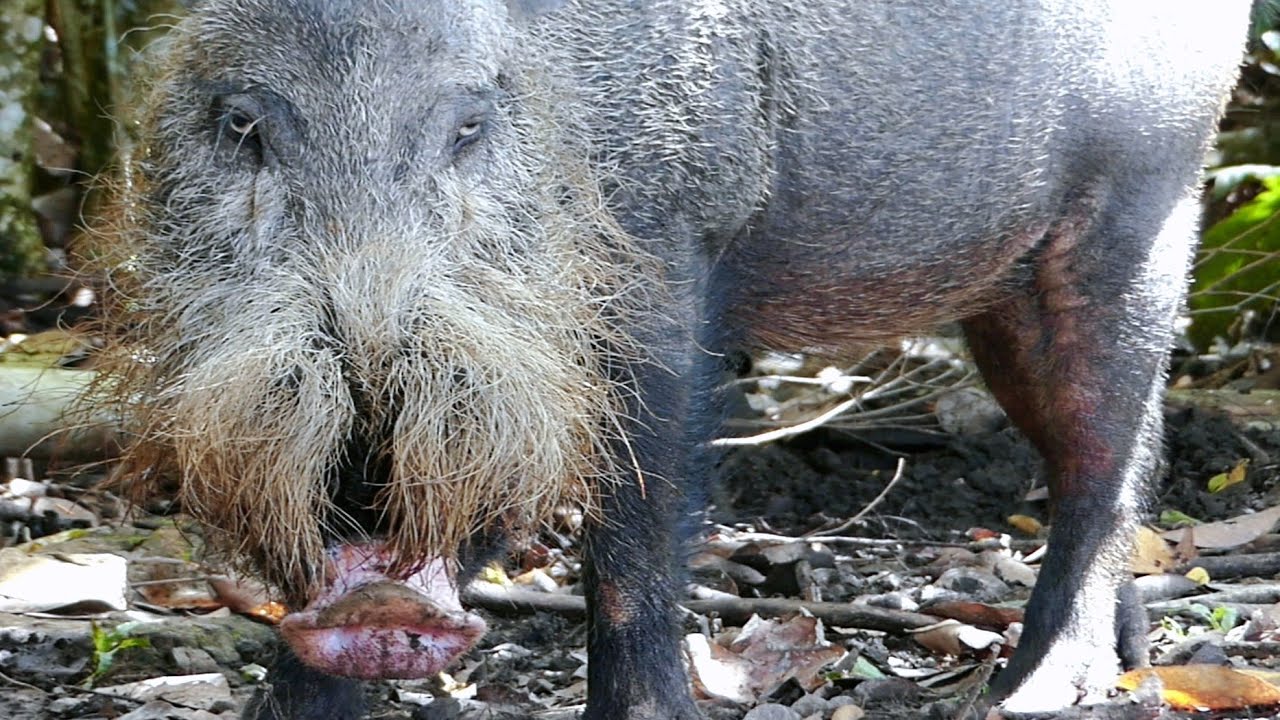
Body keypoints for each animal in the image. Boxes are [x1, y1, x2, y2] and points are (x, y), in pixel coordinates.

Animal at [86, 1, 1254, 718]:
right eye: (241, 123)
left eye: (469, 125)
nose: (371, 433)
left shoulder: (669, 258)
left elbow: (632, 527)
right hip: (1002, 292)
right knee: (1106, 450)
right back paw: (1131, 665)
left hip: (1143, 208)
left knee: (1104, 461)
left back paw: (1041, 691)